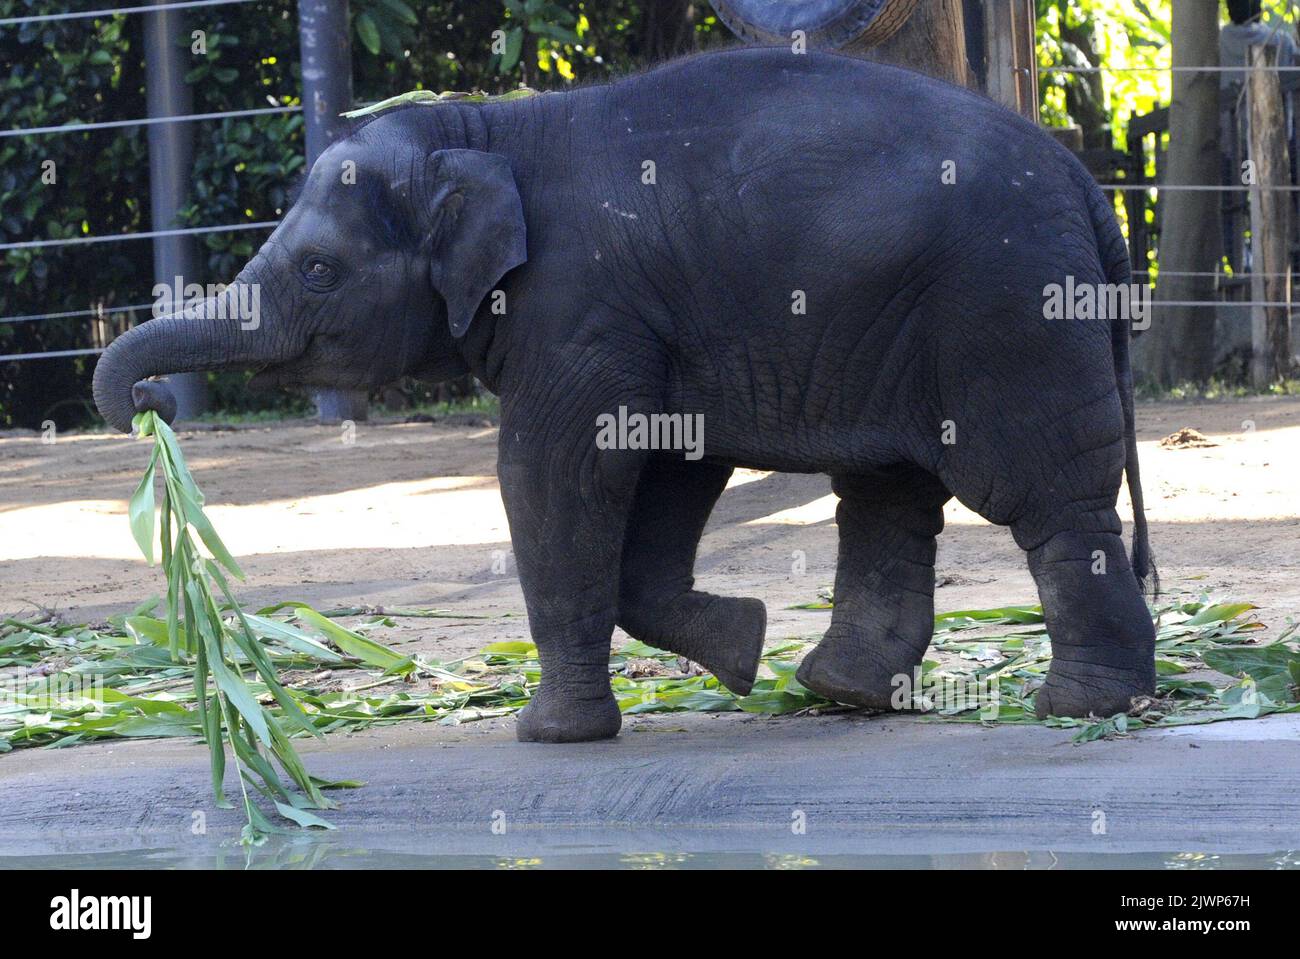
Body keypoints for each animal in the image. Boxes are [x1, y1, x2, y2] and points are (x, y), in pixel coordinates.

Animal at [94, 46, 1156, 743]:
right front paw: (742, 647)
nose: (152, 405)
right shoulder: (662, 323)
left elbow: (552, 472)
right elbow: (669, 468)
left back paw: (1080, 707)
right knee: (890, 494)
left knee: (1044, 496)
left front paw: (549, 736)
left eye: (317, 270)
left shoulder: (578, 304)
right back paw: (839, 691)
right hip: (905, 320)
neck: (487, 127)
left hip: (1005, 313)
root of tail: (1088, 189)